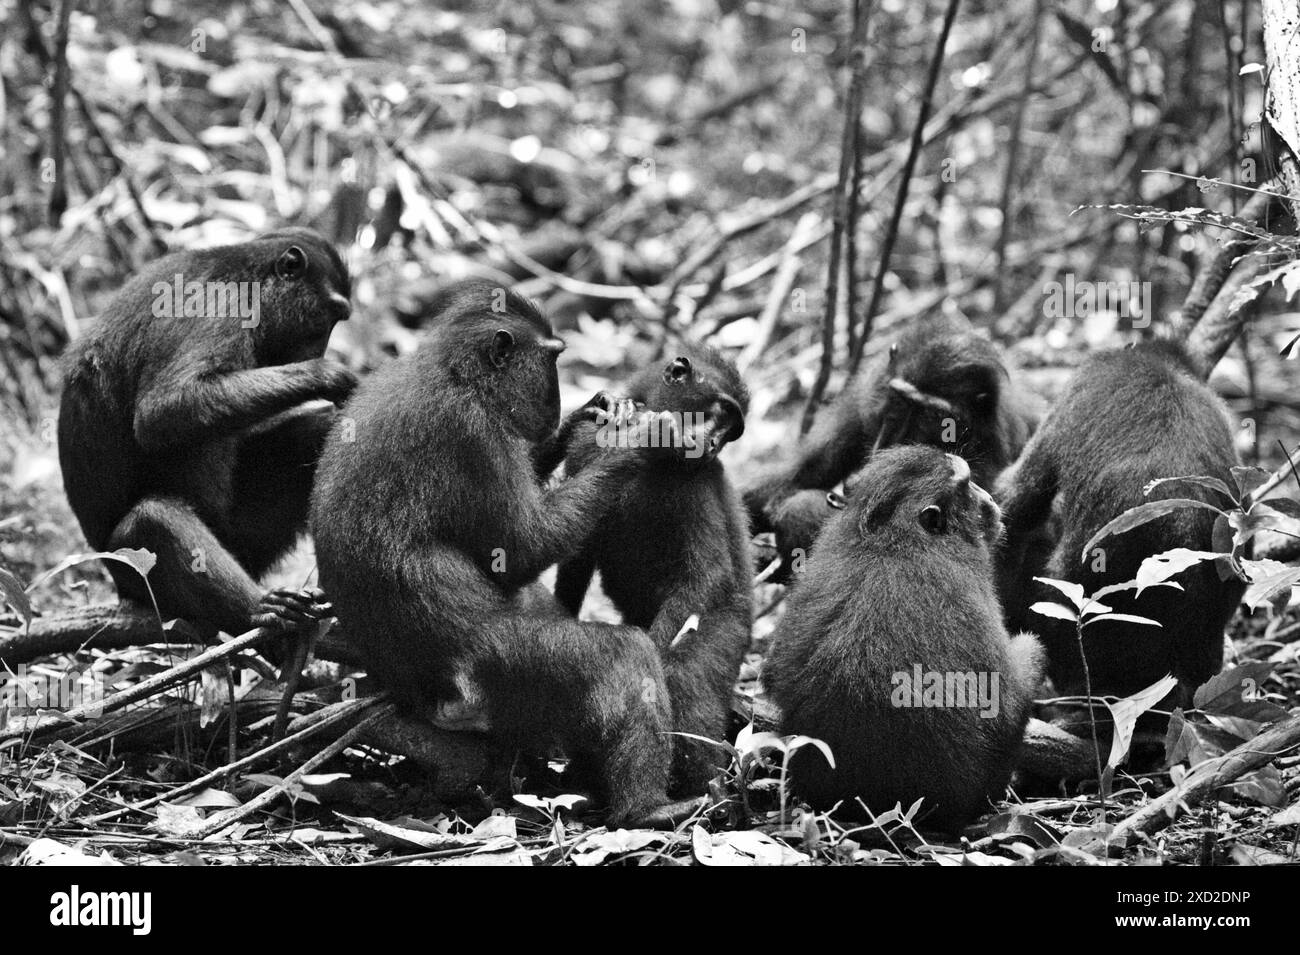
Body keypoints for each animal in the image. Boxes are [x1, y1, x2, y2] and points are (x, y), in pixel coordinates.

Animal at [57, 228, 357, 645]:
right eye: (330, 315)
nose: (323, 346)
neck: (246, 278)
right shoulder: (217, 307)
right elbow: (166, 411)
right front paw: (329, 375)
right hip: (135, 575)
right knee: (151, 520)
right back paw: (261, 612)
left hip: (247, 546)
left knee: (316, 431)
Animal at [309, 282, 689, 825]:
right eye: (552, 359)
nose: (556, 402)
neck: (456, 376)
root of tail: (432, 705)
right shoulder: (474, 435)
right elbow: (521, 548)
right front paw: (637, 438)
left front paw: (591, 412)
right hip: (505, 677)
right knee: (622, 658)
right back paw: (646, 809)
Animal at [554, 345, 753, 794]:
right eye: (720, 414)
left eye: (731, 432)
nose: (712, 442)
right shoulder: (586, 442)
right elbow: (576, 551)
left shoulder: (698, 479)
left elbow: (706, 574)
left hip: (731, 629)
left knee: (687, 669)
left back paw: (706, 794)